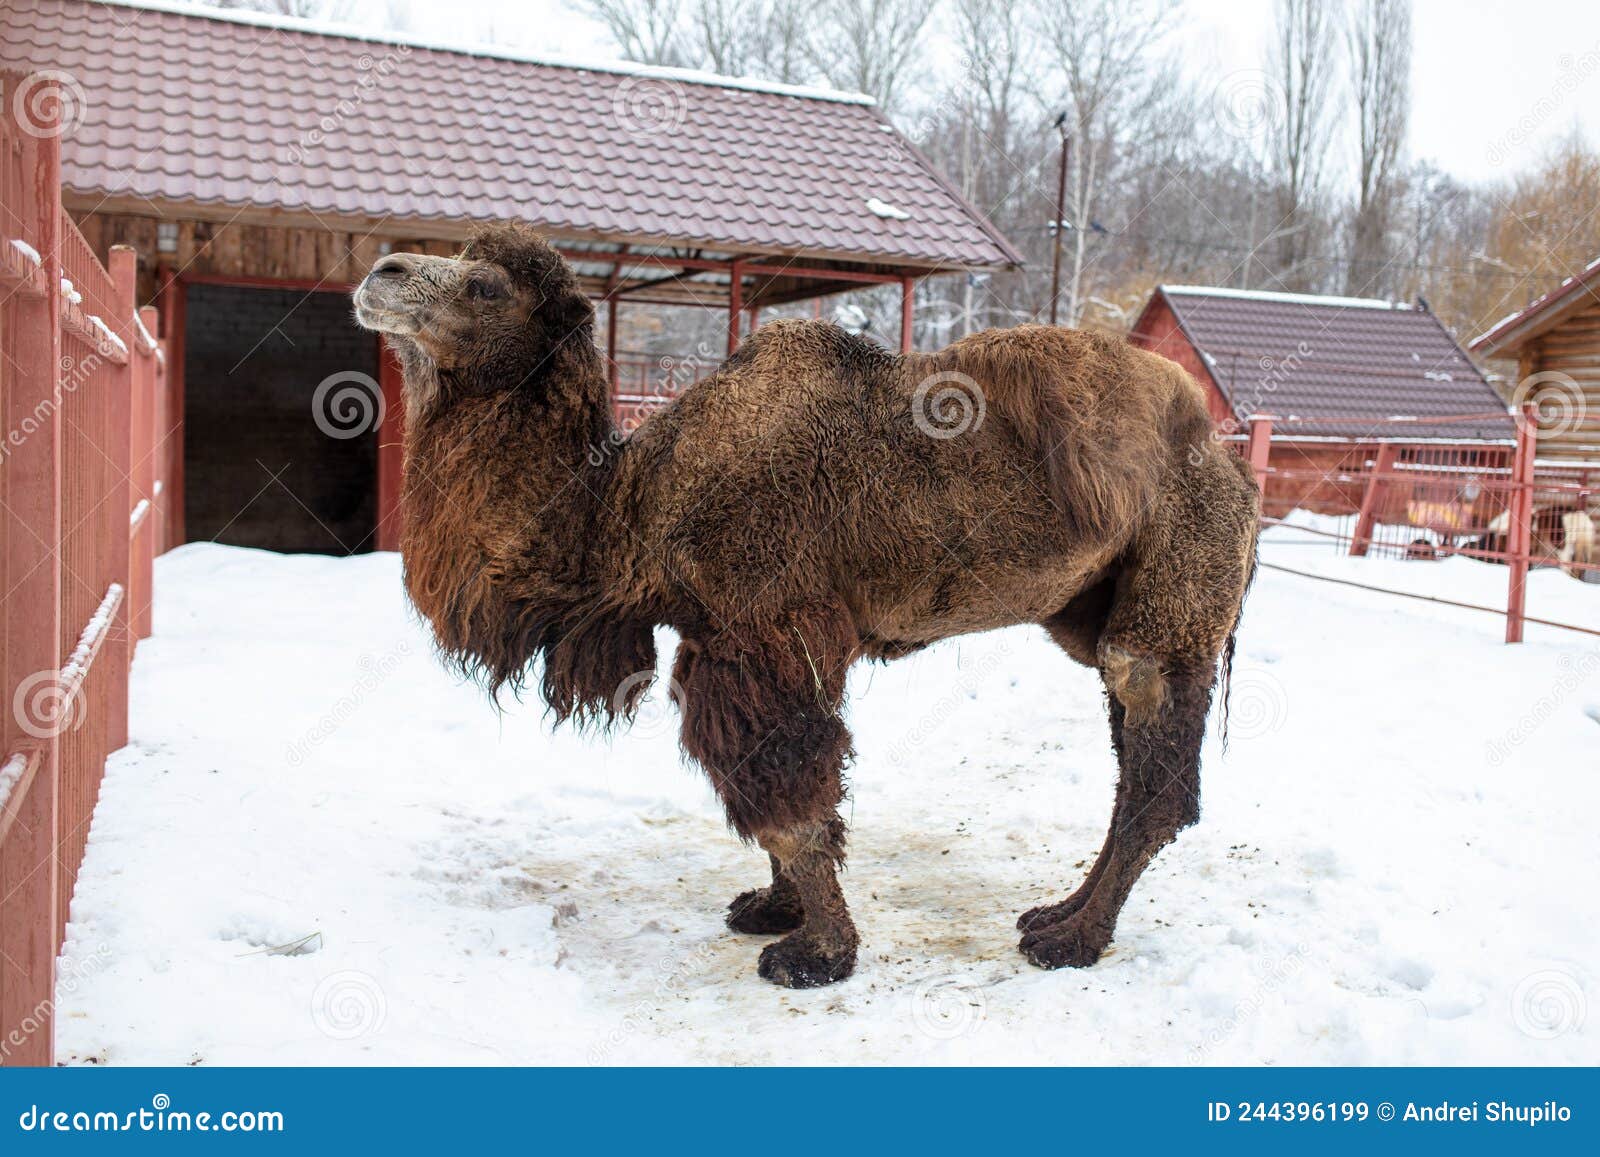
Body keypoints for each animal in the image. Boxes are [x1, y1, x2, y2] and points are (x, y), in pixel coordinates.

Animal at [352, 224, 1260, 988]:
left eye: (486, 287)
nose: (379, 271)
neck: (626, 506)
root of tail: (1230, 462)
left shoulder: (762, 630)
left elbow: (788, 793)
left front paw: (816, 952)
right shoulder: (719, 642)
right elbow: (766, 789)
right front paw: (773, 908)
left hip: (1175, 587)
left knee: (1155, 772)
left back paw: (1071, 940)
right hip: (1100, 605)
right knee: (1135, 768)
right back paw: (1055, 912)